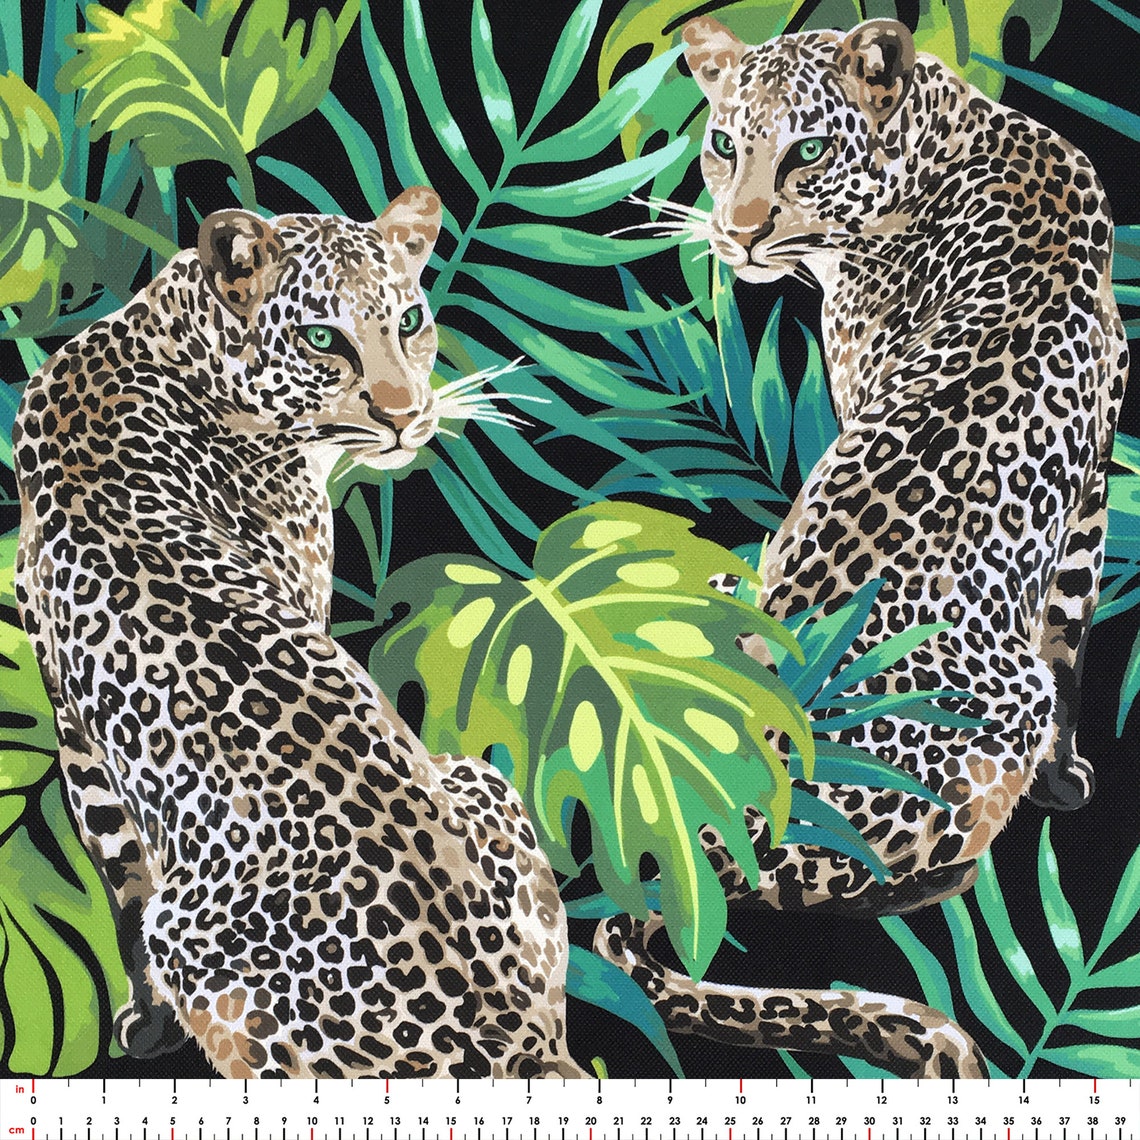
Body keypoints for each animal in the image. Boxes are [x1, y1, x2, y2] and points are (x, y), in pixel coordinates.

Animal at [13, 187, 589, 1079]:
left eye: (410, 320)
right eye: (323, 339)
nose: (408, 416)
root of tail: (516, 1031)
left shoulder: (77, 729)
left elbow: (122, 877)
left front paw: (143, 1022)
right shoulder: (74, 723)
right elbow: (121, 877)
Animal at [593, 16, 1128, 1076]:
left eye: (807, 151)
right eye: (724, 144)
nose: (738, 233)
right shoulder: (1090, 487)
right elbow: (1070, 637)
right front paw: (1067, 781)